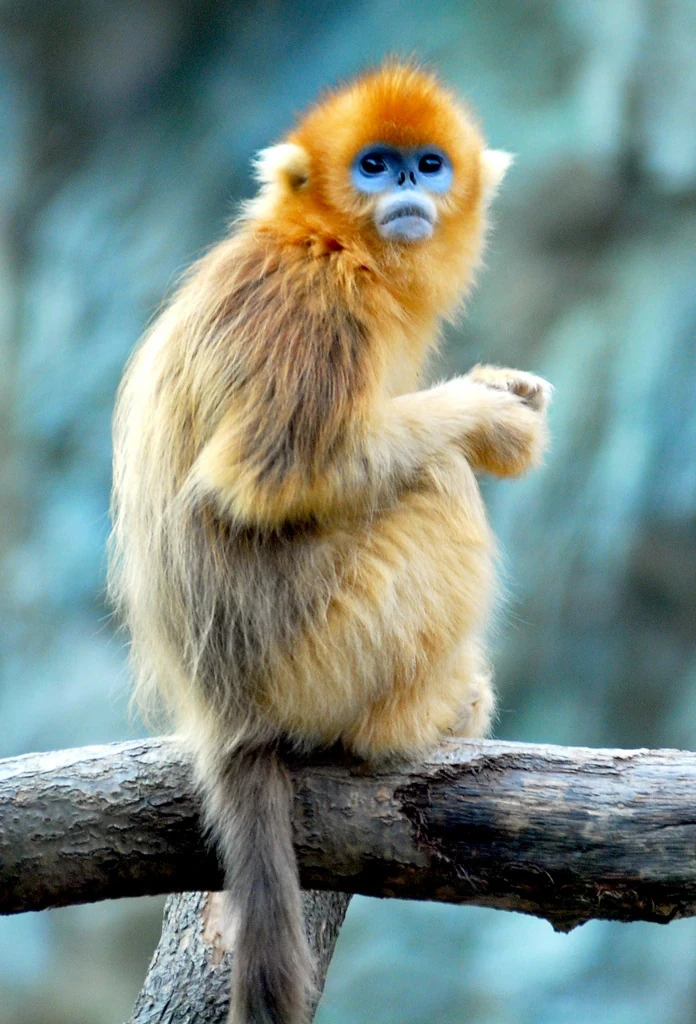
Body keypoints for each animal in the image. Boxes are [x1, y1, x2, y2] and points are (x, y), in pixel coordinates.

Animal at [109, 63, 550, 1024]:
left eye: (429, 163)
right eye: (374, 164)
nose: (408, 186)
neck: (322, 240)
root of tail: (222, 714)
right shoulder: (319, 303)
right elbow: (268, 478)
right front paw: (487, 413)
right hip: (319, 656)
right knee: (437, 480)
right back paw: (410, 726)